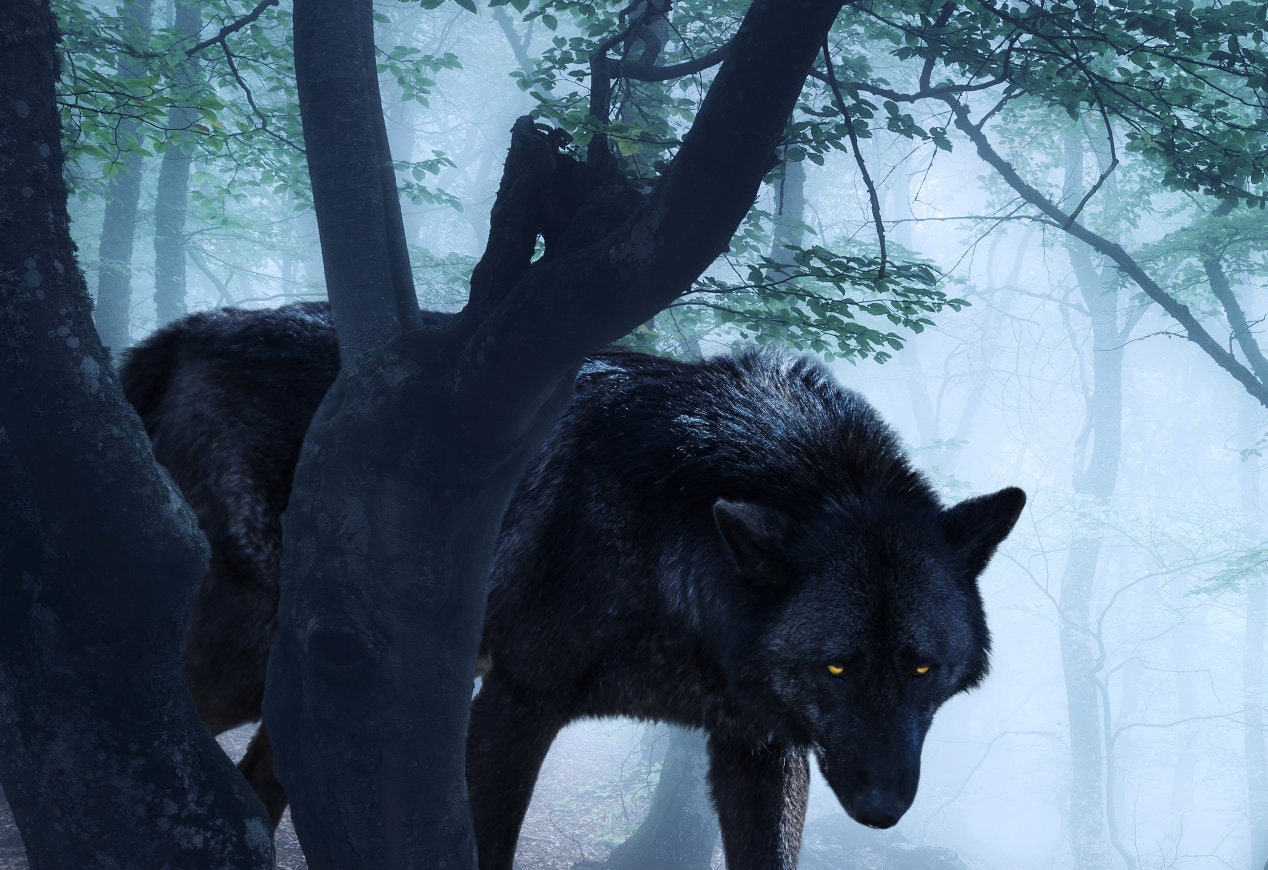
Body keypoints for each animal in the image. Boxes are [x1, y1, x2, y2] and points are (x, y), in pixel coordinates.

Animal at [121, 303, 1025, 870]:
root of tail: (188, 328)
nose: (883, 807)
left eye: (921, 669)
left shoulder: (760, 747)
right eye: (838, 668)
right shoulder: (515, 705)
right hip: (252, 660)